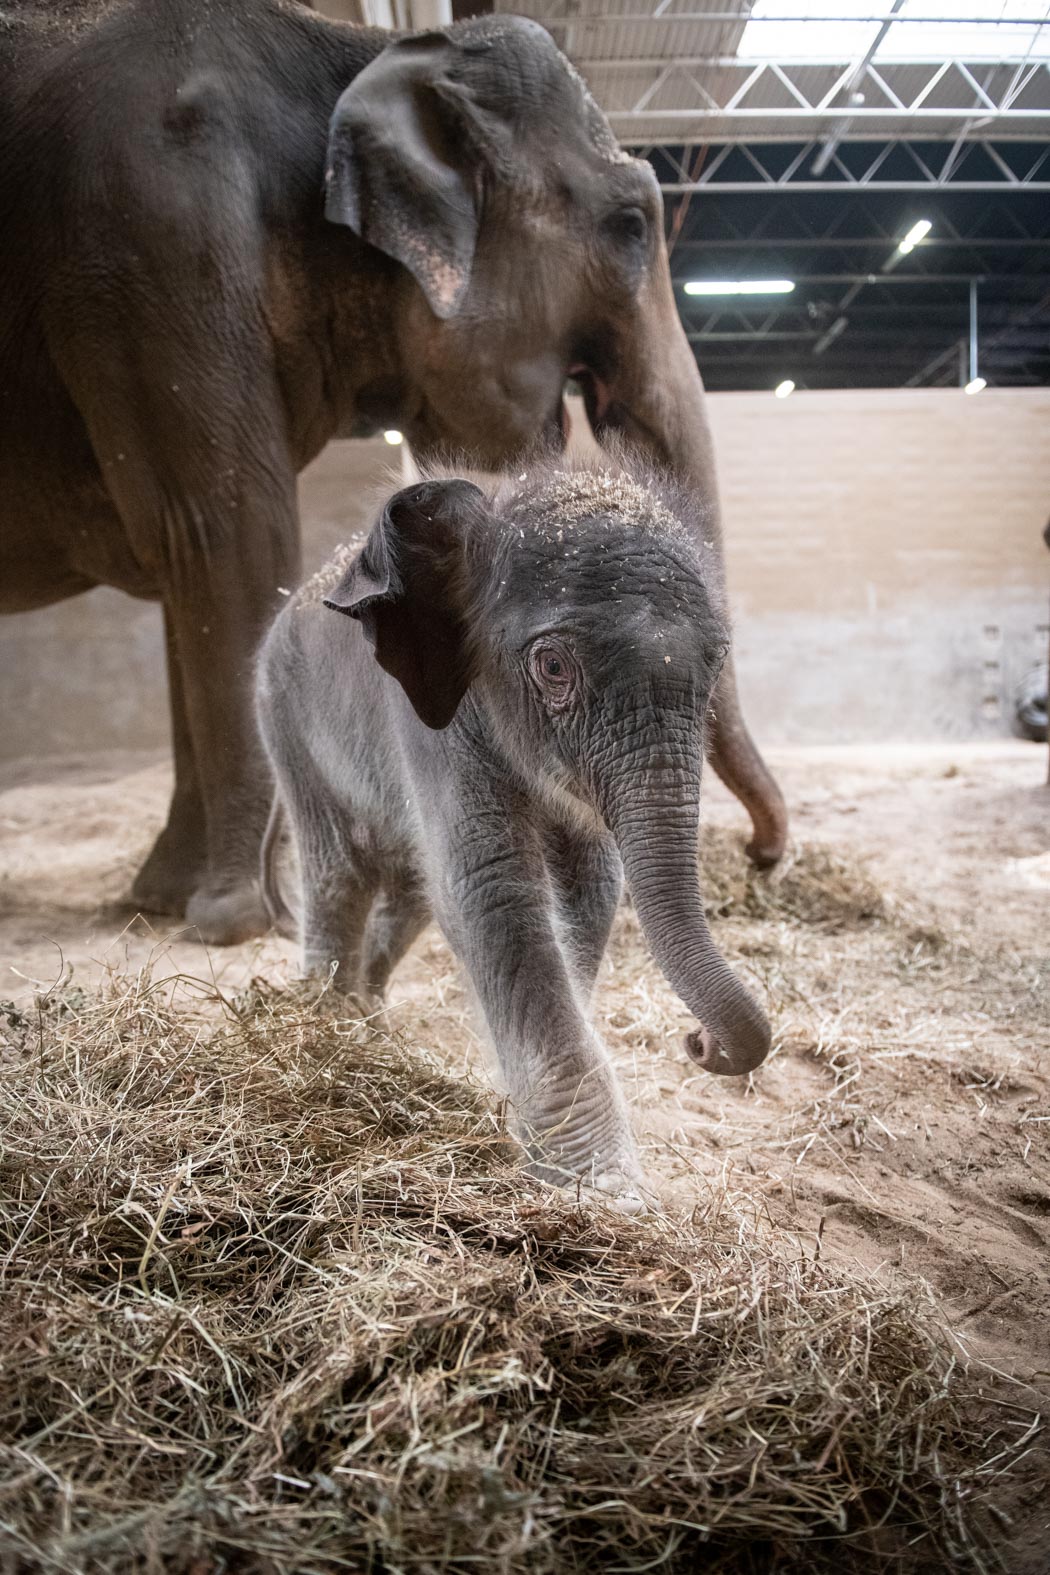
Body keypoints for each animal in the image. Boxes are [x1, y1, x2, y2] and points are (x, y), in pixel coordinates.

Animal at [0, 0, 787, 946]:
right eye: (632, 225)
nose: (762, 856)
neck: (362, 51)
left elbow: (188, 571)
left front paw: (163, 902)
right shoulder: (150, 245)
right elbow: (226, 535)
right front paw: (242, 919)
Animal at [255, 459, 772, 1201]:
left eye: (718, 662)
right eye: (553, 667)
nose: (698, 1042)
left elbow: (590, 888)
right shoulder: (430, 720)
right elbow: (492, 886)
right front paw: (605, 1189)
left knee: (409, 892)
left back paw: (370, 1022)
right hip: (285, 720)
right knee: (339, 873)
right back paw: (329, 1025)